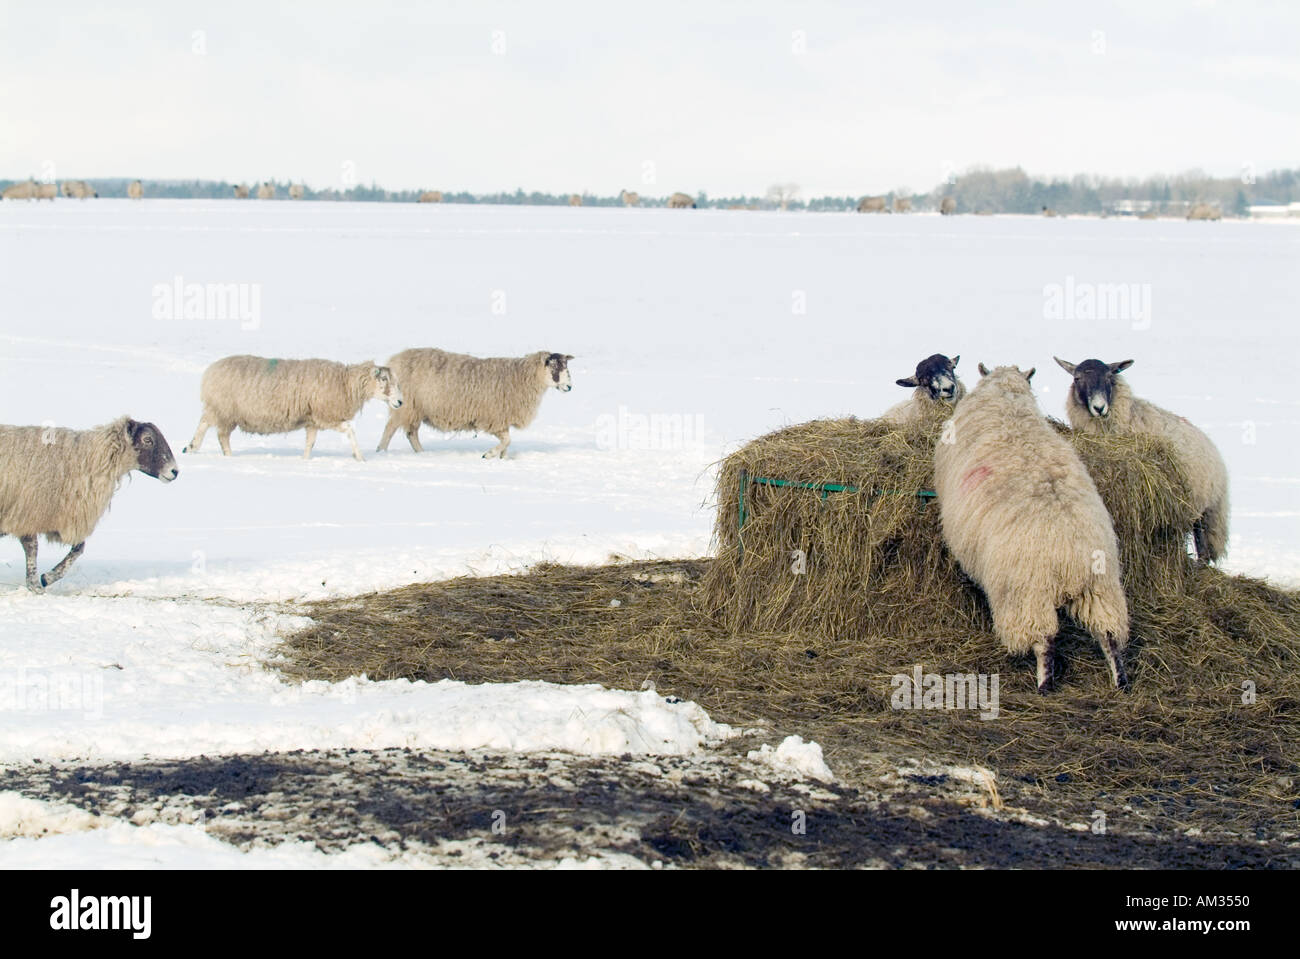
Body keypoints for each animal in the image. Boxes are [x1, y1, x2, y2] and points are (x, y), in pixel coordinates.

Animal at [0, 417, 178, 592]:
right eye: (147, 440)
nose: (175, 471)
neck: (88, 458)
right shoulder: (27, 513)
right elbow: (32, 548)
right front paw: (36, 585)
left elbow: (79, 547)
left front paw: (47, 578)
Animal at [184, 356, 403, 461]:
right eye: (384, 379)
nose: (400, 402)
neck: (344, 382)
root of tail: (210, 372)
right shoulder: (325, 415)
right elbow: (350, 430)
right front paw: (360, 458)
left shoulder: (313, 420)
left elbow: (310, 443)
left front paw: (304, 460)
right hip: (225, 411)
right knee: (221, 435)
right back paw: (228, 457)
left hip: (218, 408)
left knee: (204, 422)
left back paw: (191, 446)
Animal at [378, 349, 573, 459]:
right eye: (555, 367)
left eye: (566, 366)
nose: (569, 386)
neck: (521, 376)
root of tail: (395, 360)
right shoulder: (495, 418)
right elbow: (507, 440)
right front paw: (489, 455)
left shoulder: (502, 419)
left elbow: (507, 442)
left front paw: (501, 459)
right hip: (405, 405)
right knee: (390, 429)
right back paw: (381, 452)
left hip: (416, 408)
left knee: (411, 433)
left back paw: (422, 453)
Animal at [934, 363, 1129, 692]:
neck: (1008, 402)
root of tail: (1070, 551)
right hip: (1101, 588)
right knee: (1110, 635)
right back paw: (1121, 681)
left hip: (1026, 592)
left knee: (1044, 640)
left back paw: (1044, 684)